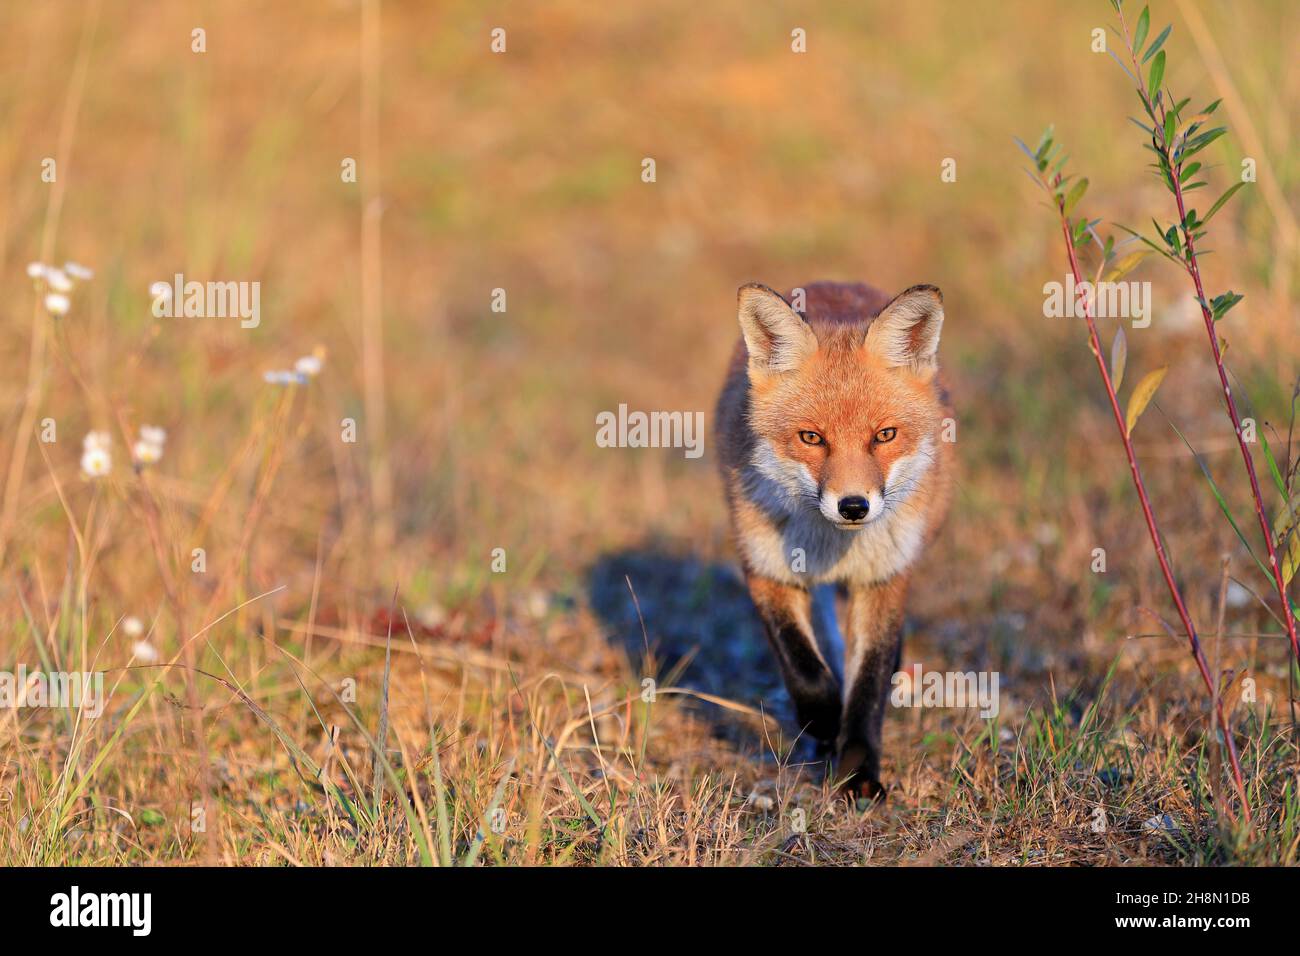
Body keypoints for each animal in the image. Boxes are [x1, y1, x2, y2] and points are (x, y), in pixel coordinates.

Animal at [715, 280, 954, 800]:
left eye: (884, 435)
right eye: (811, 437)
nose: (853, 506)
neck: (833, 547)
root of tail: (835, 283)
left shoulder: (883, 578)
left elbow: (867, 686)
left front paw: (860, 770)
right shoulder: (764, 568)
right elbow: (805, 670)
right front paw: (823, 723)